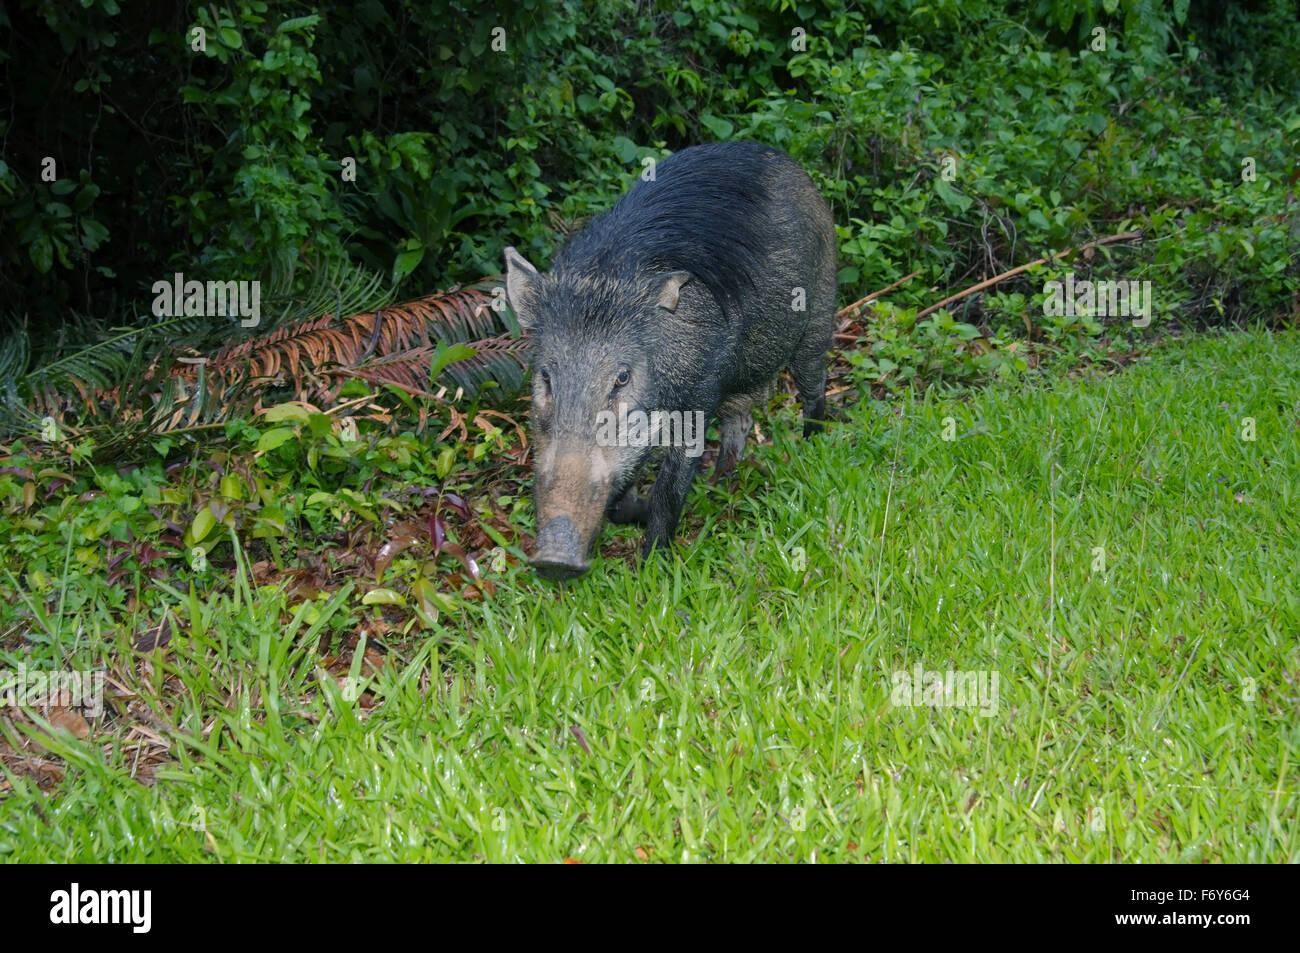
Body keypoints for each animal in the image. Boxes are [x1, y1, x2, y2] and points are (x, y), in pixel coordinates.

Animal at [504, 140, 836, 579]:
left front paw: (652, 568)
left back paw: (811, 446)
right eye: (545, 377)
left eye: (622, 377)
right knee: (741, 421)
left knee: (814, 388)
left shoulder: (701, 395)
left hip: (819, 313)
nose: (554, 562)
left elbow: (669, 490)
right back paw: (719, 483)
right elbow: (622, 497)